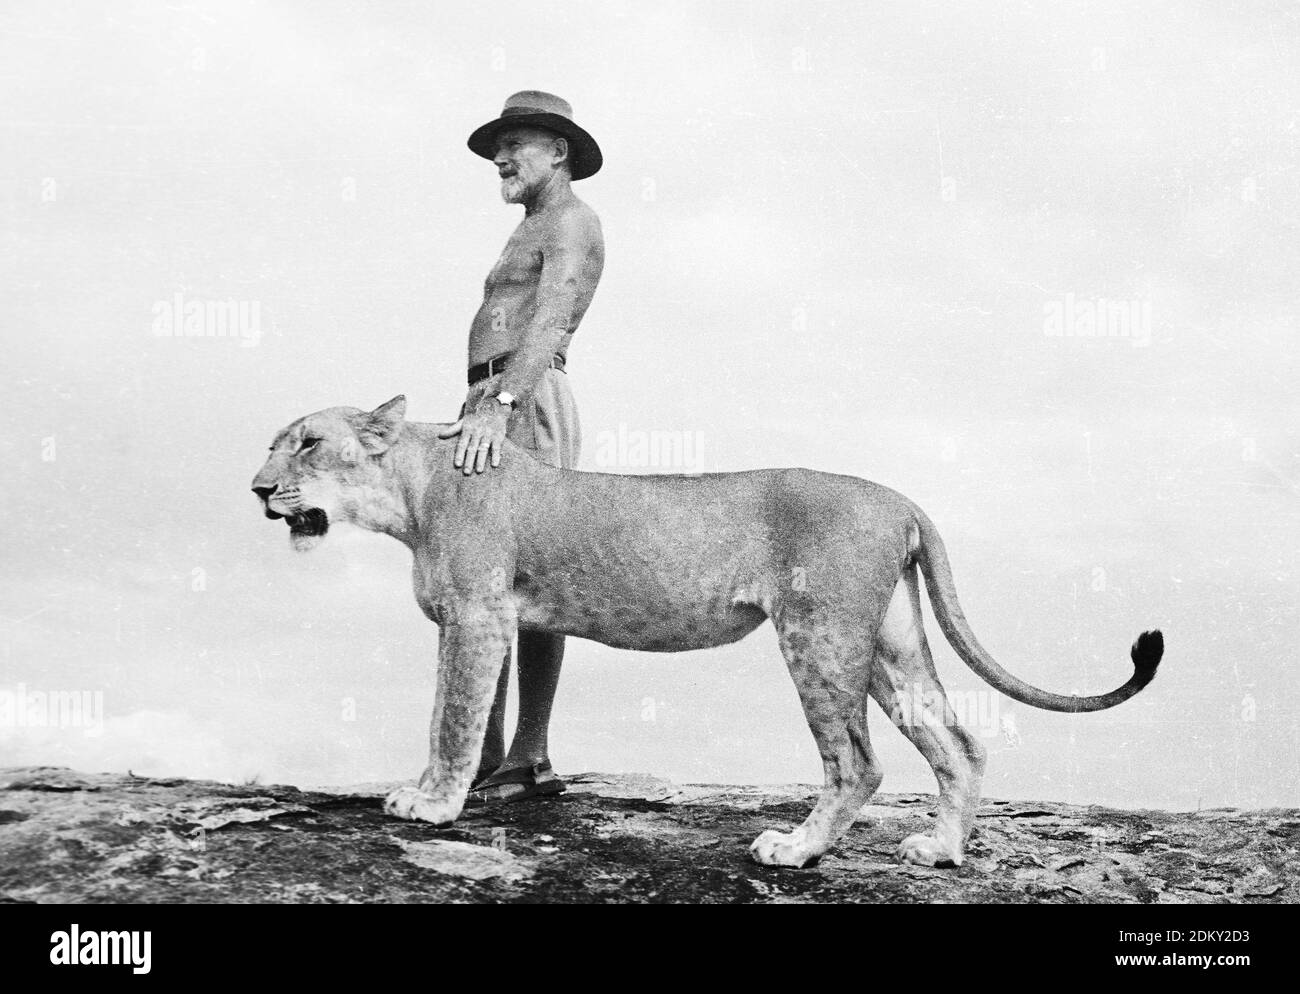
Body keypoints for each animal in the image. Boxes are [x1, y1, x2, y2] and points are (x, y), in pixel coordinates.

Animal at [251, 396, 1164, 869]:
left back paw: (795, 849)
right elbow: (446, 711)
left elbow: (455, 716)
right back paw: (939, 850)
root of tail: (901, 499)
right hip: (887, 648)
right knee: (960, 742)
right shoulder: (471, 622)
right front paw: (426, 790)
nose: (257, 488)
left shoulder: (478, 616)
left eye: (310, 442)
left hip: (818, 637)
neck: (412, 496)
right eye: (274, 443)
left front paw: (433, 806)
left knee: (858, 762)